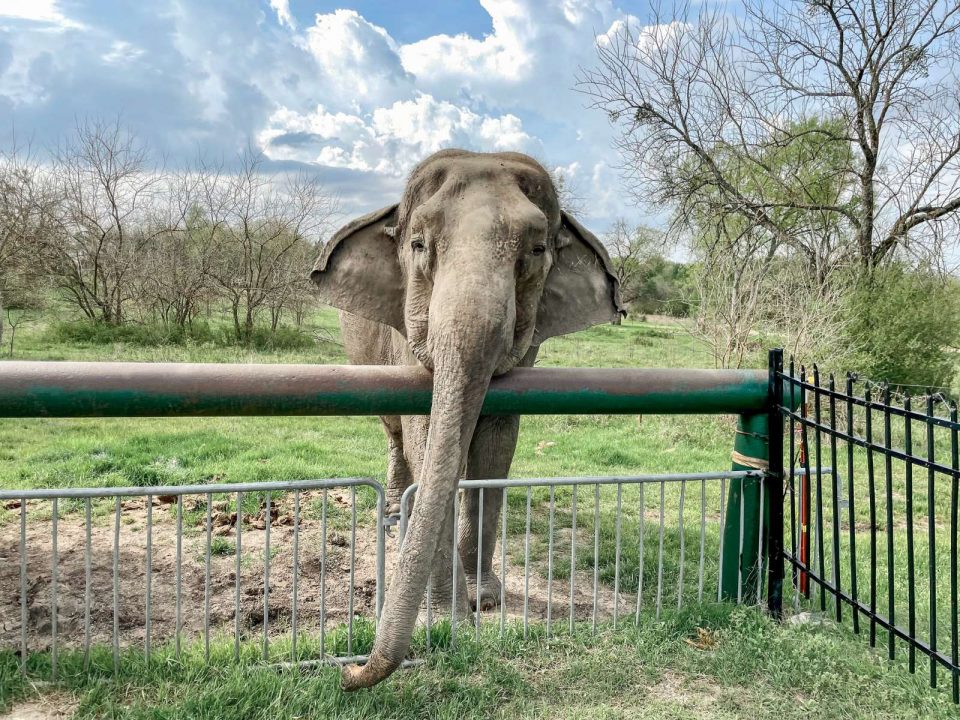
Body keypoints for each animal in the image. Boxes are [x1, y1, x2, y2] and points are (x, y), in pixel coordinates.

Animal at [310, 149, 623, 690]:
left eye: (537, 250)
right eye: (417, 244)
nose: (348, 671)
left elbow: (497, 442)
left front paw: (485, 600)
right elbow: (426, 434)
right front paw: (447, 619)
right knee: (395, 433)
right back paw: (394, 517)